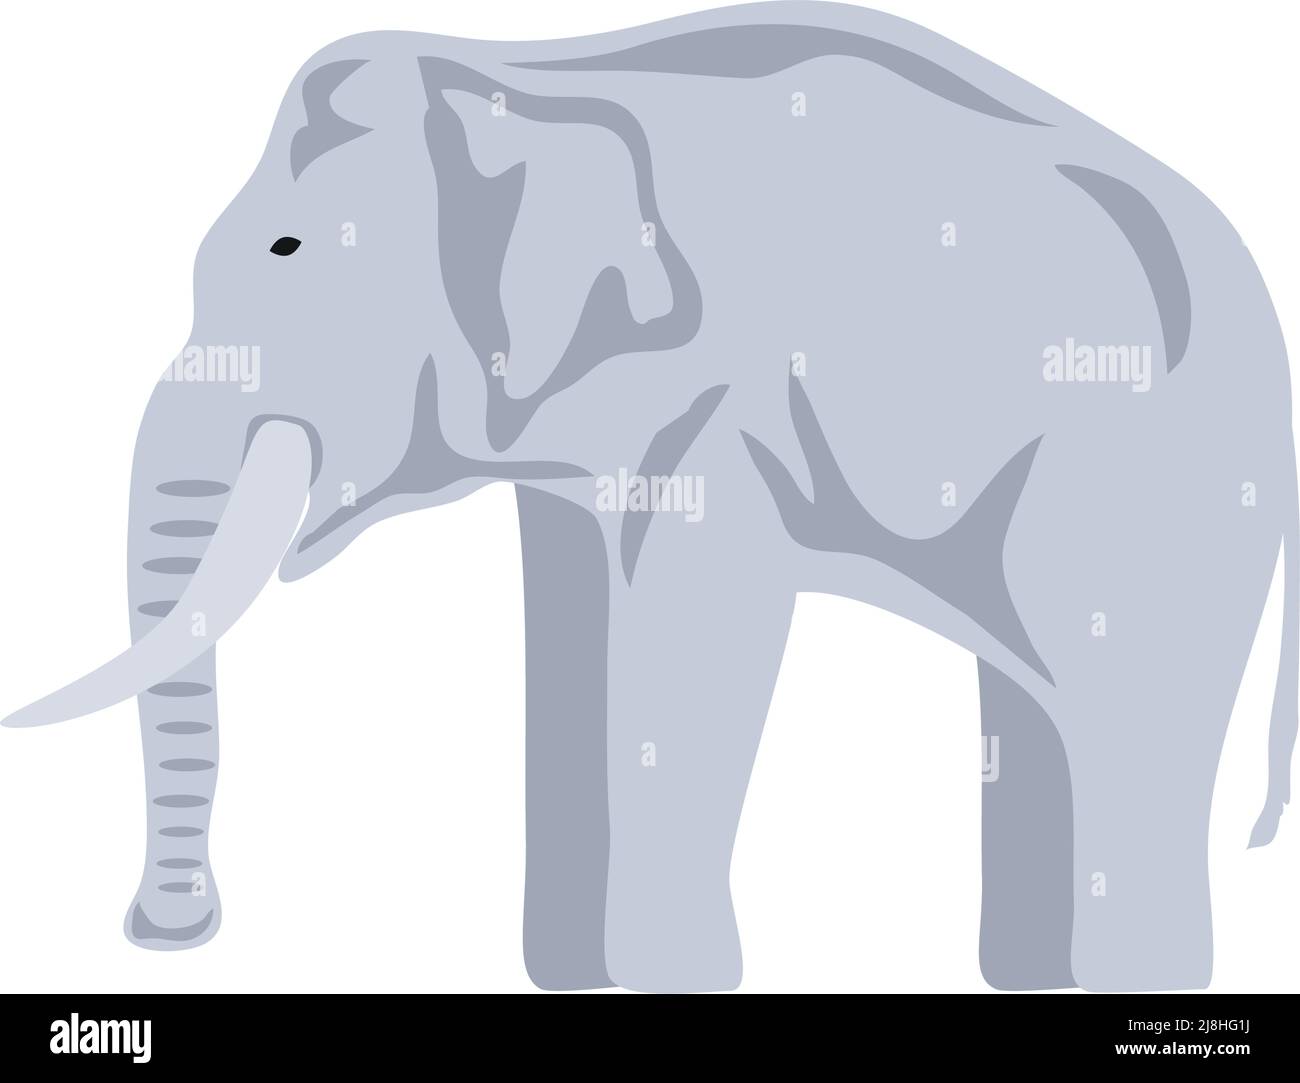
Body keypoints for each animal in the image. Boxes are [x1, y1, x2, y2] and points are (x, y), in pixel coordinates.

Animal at [4, 1, 1295, 993]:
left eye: (289, 253)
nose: (170, 931)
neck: (521, 73)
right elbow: (579, 624)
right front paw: (574, 979)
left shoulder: (719, 400)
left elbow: (693, 644)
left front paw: (671, 979)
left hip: (1154, 486)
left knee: (1125, 713)